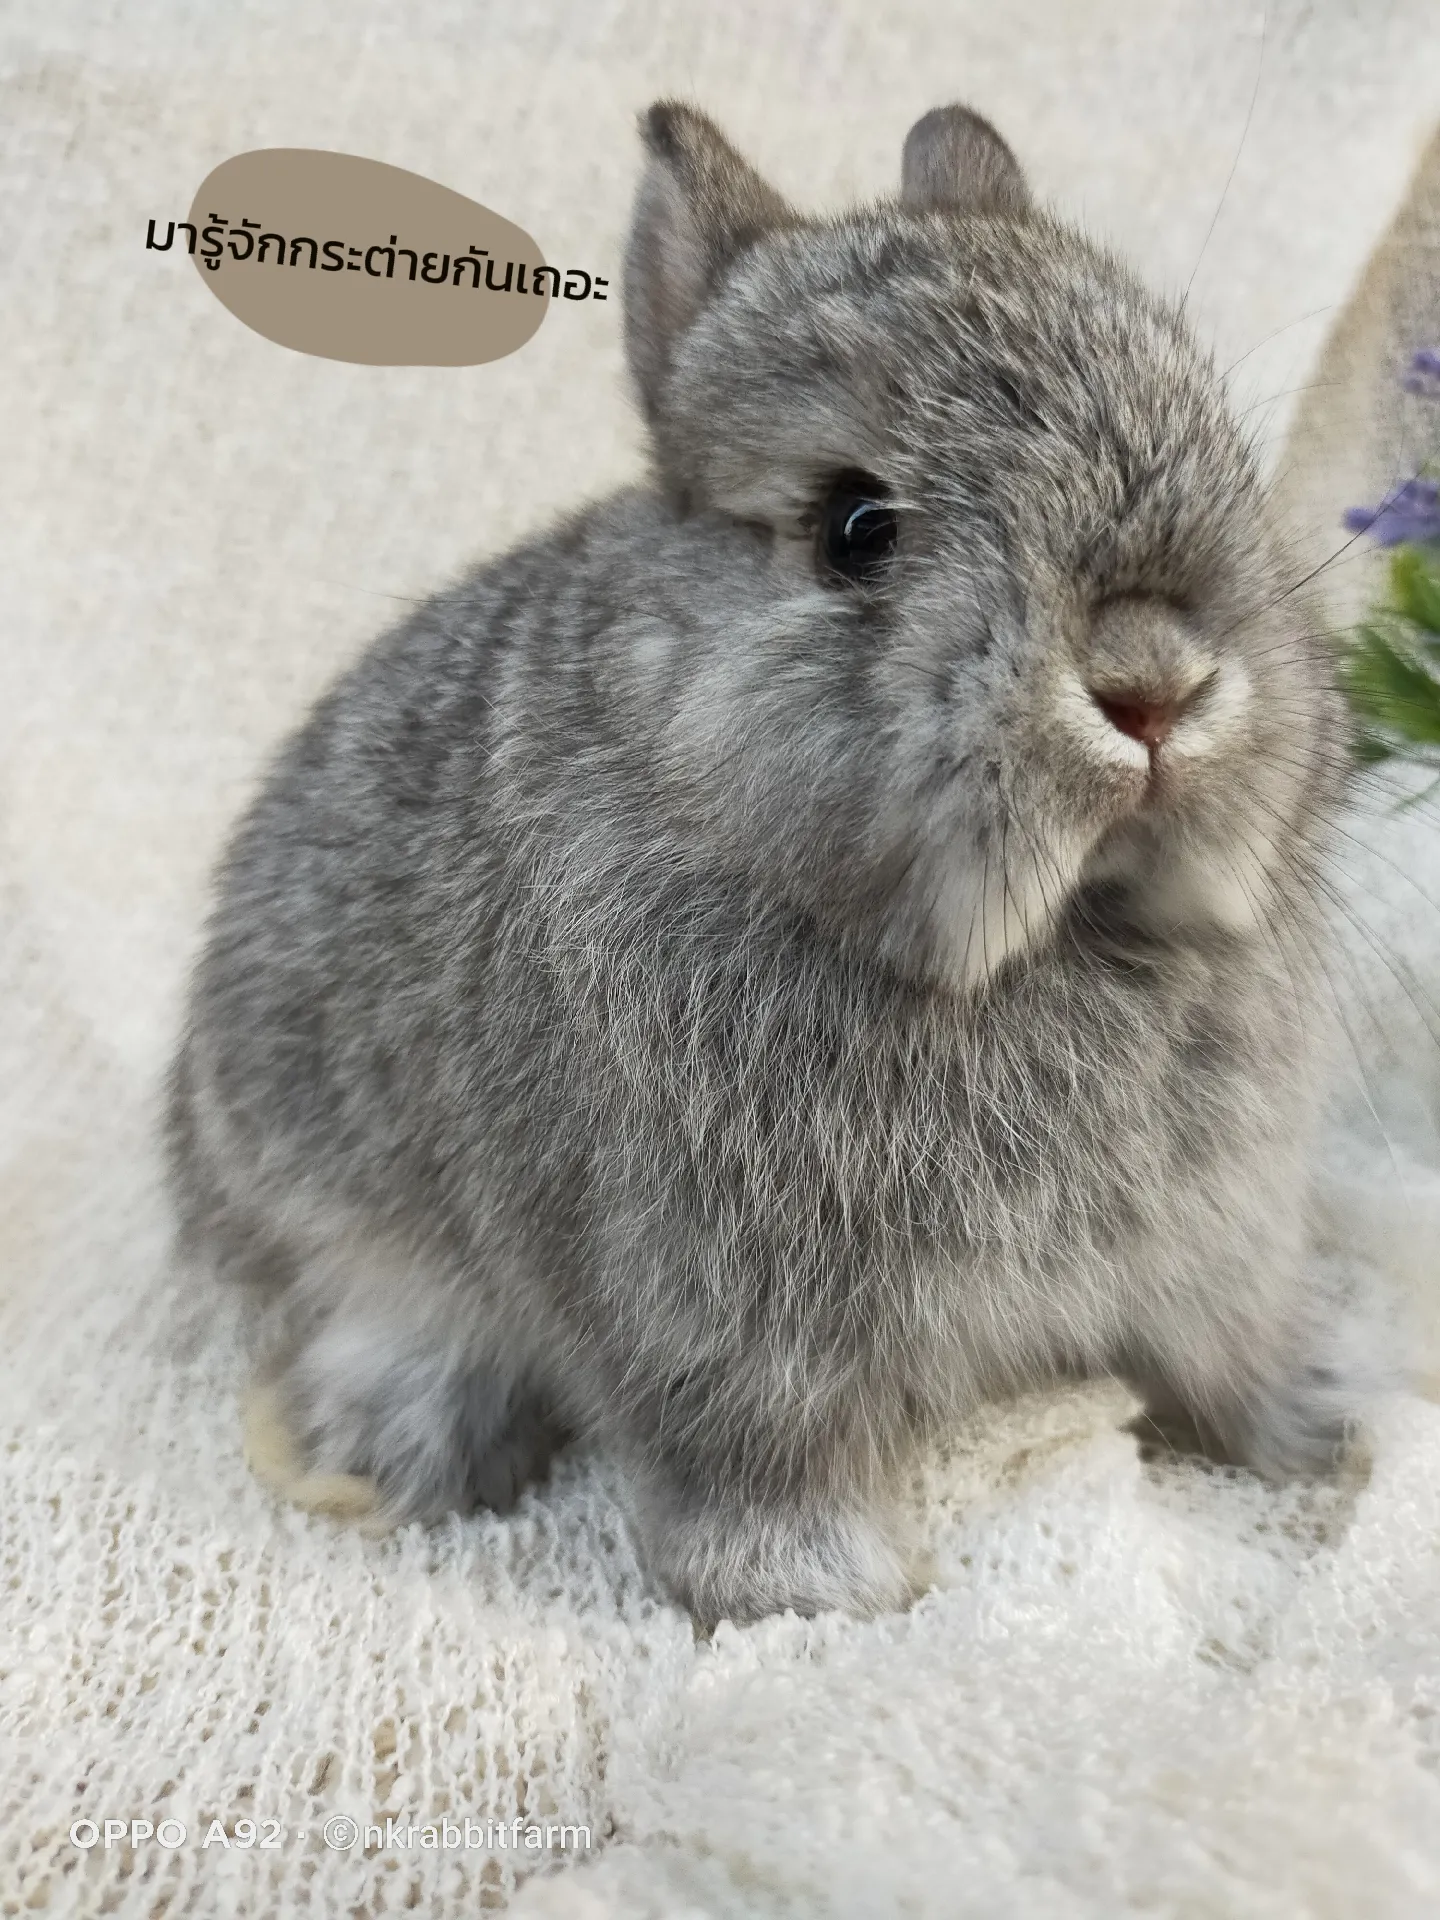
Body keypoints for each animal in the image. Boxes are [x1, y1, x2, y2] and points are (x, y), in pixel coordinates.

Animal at [167, 99, 1374, 1628]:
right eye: (856, 530)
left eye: (1227, 449)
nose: (1154, 686)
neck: (1045, 951)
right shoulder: (714, 1315)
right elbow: (753, 1454)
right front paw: (821, 1591)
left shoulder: (1217, 1245)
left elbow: (1233, 1348)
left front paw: (1332, 1428)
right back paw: (388, 1450)